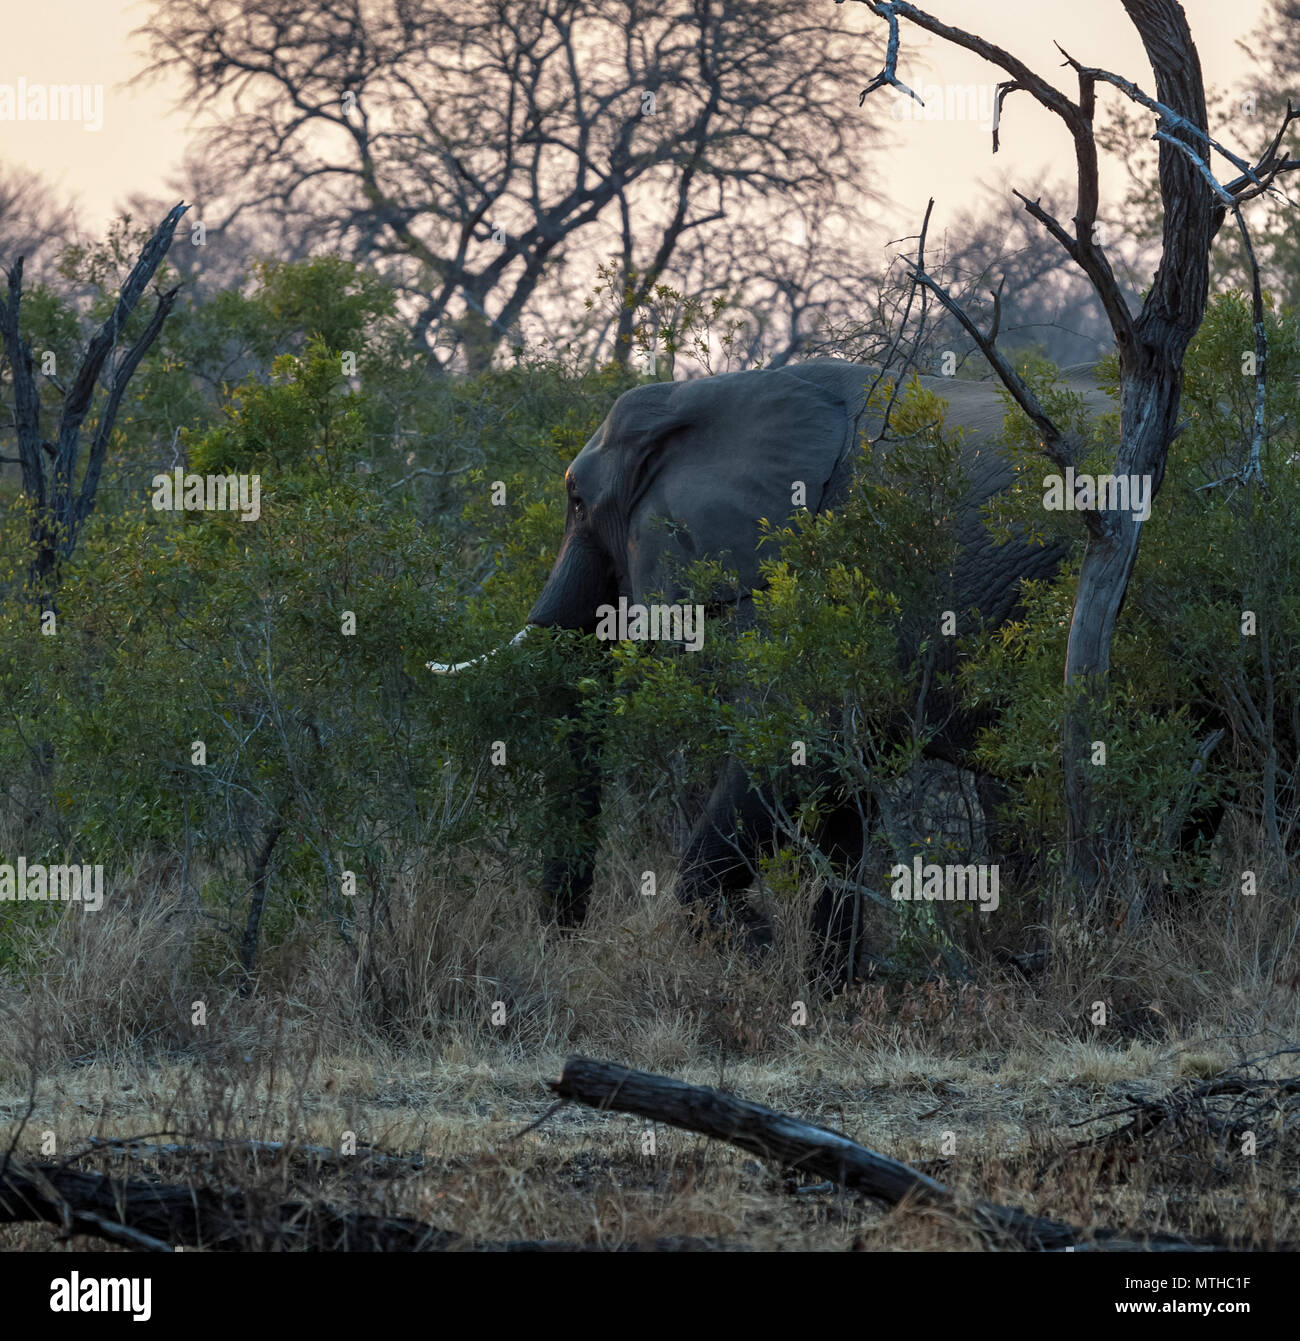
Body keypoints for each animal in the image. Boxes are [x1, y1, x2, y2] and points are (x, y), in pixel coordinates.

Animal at [433, 357, 1114, 961]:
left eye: (577, 502)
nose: (563, 947)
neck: (705, 395)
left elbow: (789, 749)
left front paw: (753, 943)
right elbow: (843, 789)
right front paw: (826, 987)